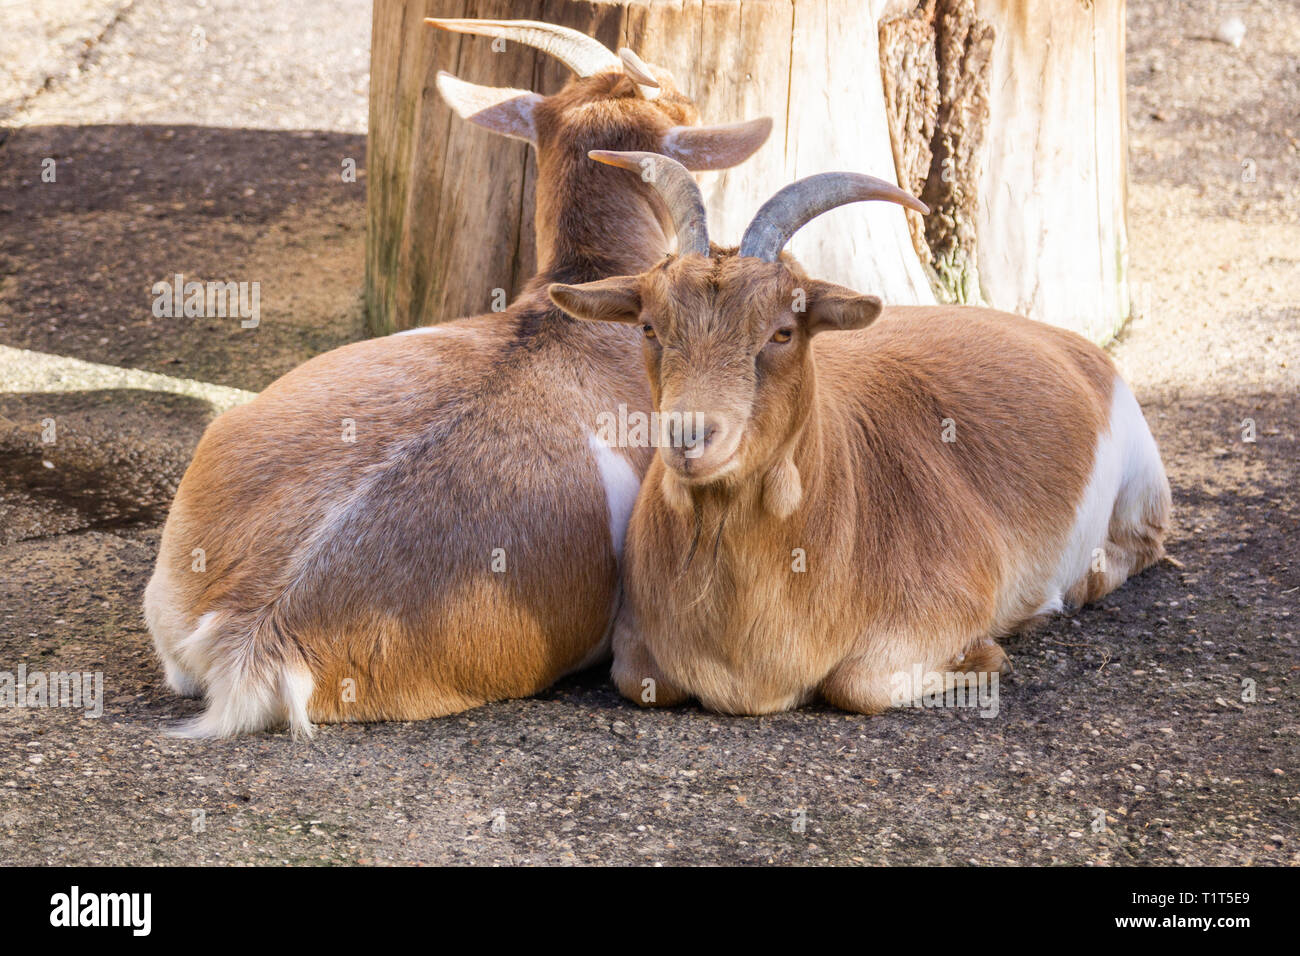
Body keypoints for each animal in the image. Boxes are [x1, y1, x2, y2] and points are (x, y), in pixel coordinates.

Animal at [548, 151, 1172, 716]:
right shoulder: (639, 652)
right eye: (650, 328)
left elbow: (857, 686)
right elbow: (642, 680)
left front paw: (983, 657)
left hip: (1140, 483)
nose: (689, 437)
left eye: (782, 332)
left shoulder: (948, 598)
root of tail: (1071, 343)